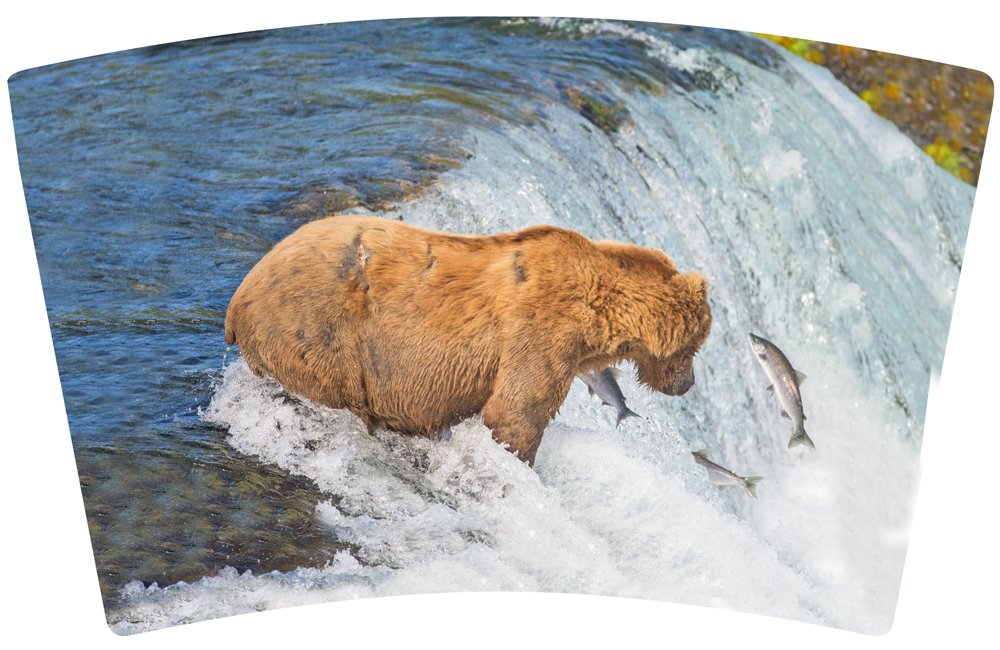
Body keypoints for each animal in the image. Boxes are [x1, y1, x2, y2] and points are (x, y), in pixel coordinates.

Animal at [224, 214, 712, 466]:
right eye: (696, 347)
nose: (687, 384)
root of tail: (238, 297)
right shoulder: (540, 329)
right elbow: (517, 412)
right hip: (316, 333)